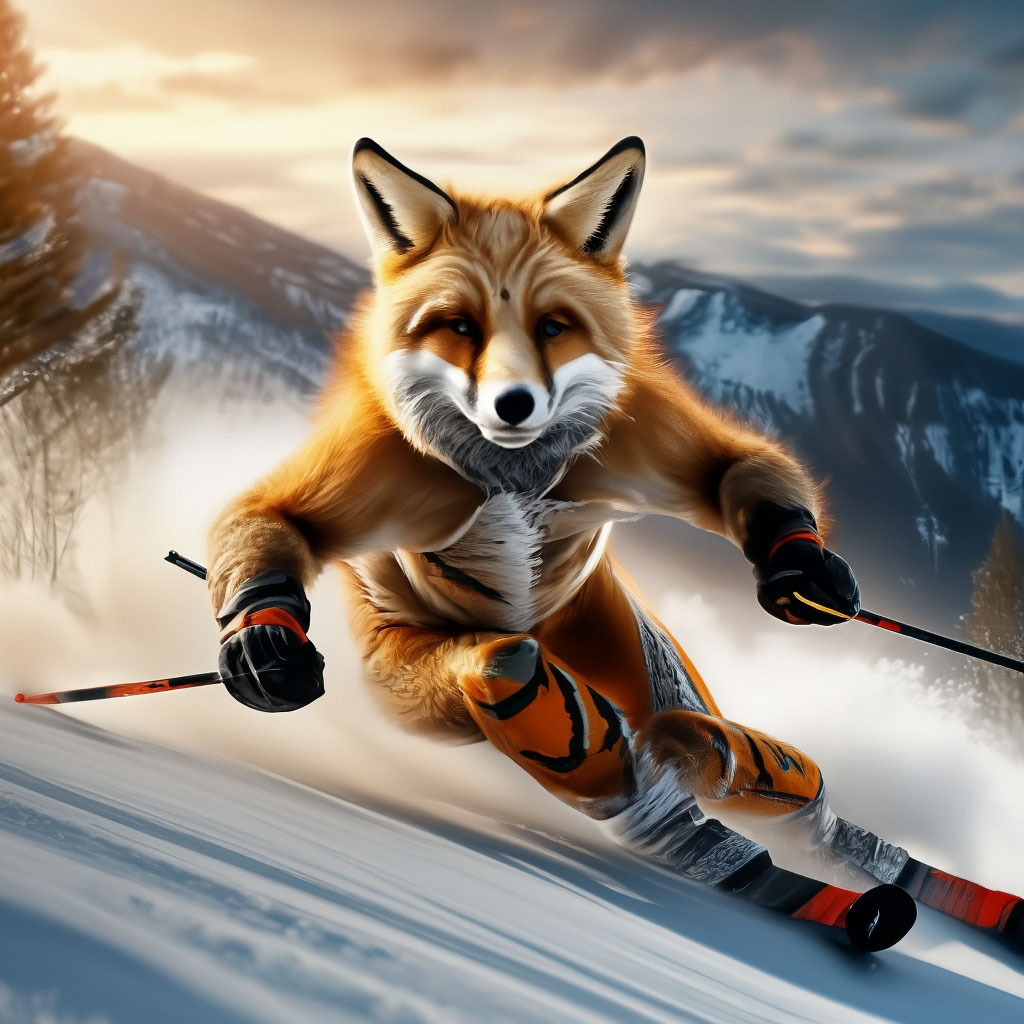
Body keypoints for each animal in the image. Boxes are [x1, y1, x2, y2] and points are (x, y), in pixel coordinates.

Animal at [206, 137, 1022, 952]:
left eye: (554, 325)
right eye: (458, 325)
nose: (514, 404)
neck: (513, 475)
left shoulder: (632, 430)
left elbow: (729, 465)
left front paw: (802, 570)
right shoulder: (382, 465)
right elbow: (280, 519)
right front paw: (264, 650)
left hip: (629, 646)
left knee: (722, 749)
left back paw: (921, 885)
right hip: (436, 691)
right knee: (543, 689)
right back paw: (810, 892)